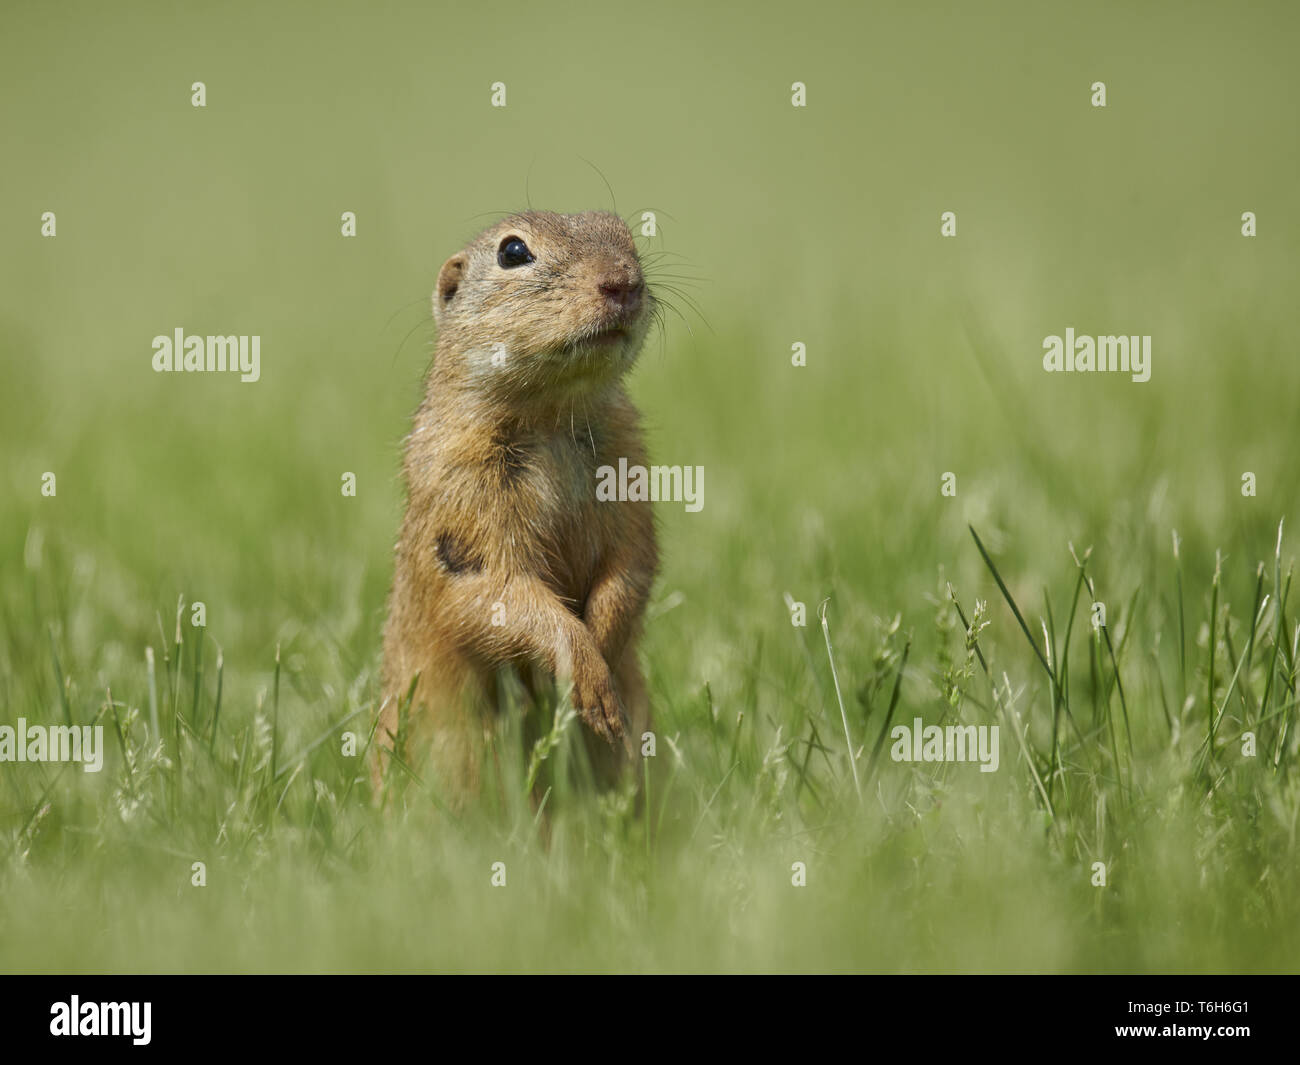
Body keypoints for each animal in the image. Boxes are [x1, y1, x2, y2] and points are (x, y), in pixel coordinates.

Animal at [374, 210, 659, 805]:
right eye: (512, 252)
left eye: (624, 232)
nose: (623, 283)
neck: (549, 415)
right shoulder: (461, 500)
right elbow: (498, 591)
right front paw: (586, 675)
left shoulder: (629, 468)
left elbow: (632, 562)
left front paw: (604, 656)